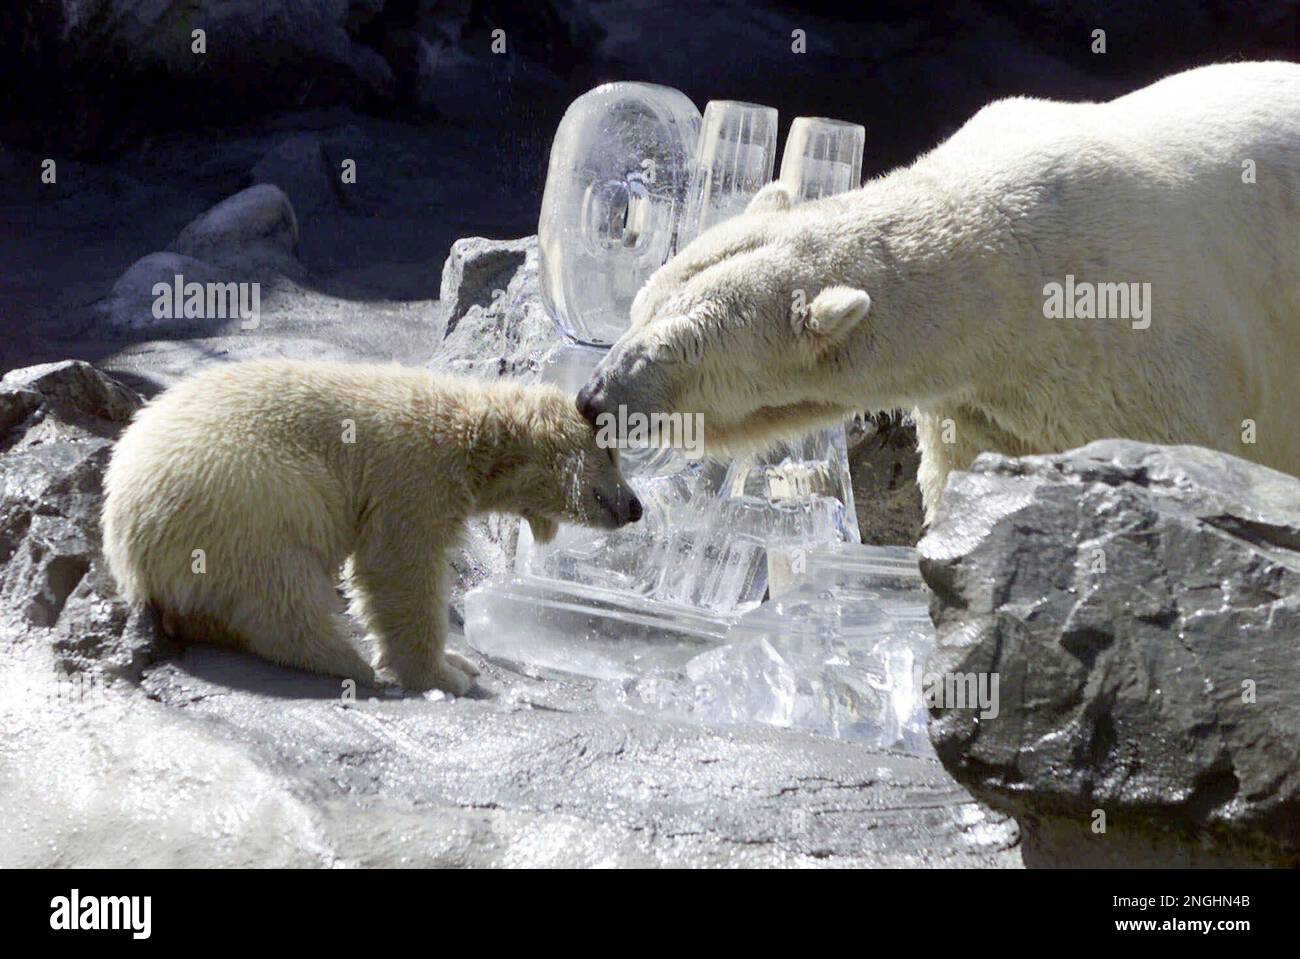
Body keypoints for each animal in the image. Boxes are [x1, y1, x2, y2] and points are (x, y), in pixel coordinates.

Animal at [102, 359, 641, 693]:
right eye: (614, 451)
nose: (636, 507)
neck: (477, 437)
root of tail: (123, 538)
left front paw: (458, 662)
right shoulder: (412, 476)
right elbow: (398, 566)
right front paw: (444, 673)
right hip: (244, 492)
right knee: (279, 581)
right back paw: (343, 660)